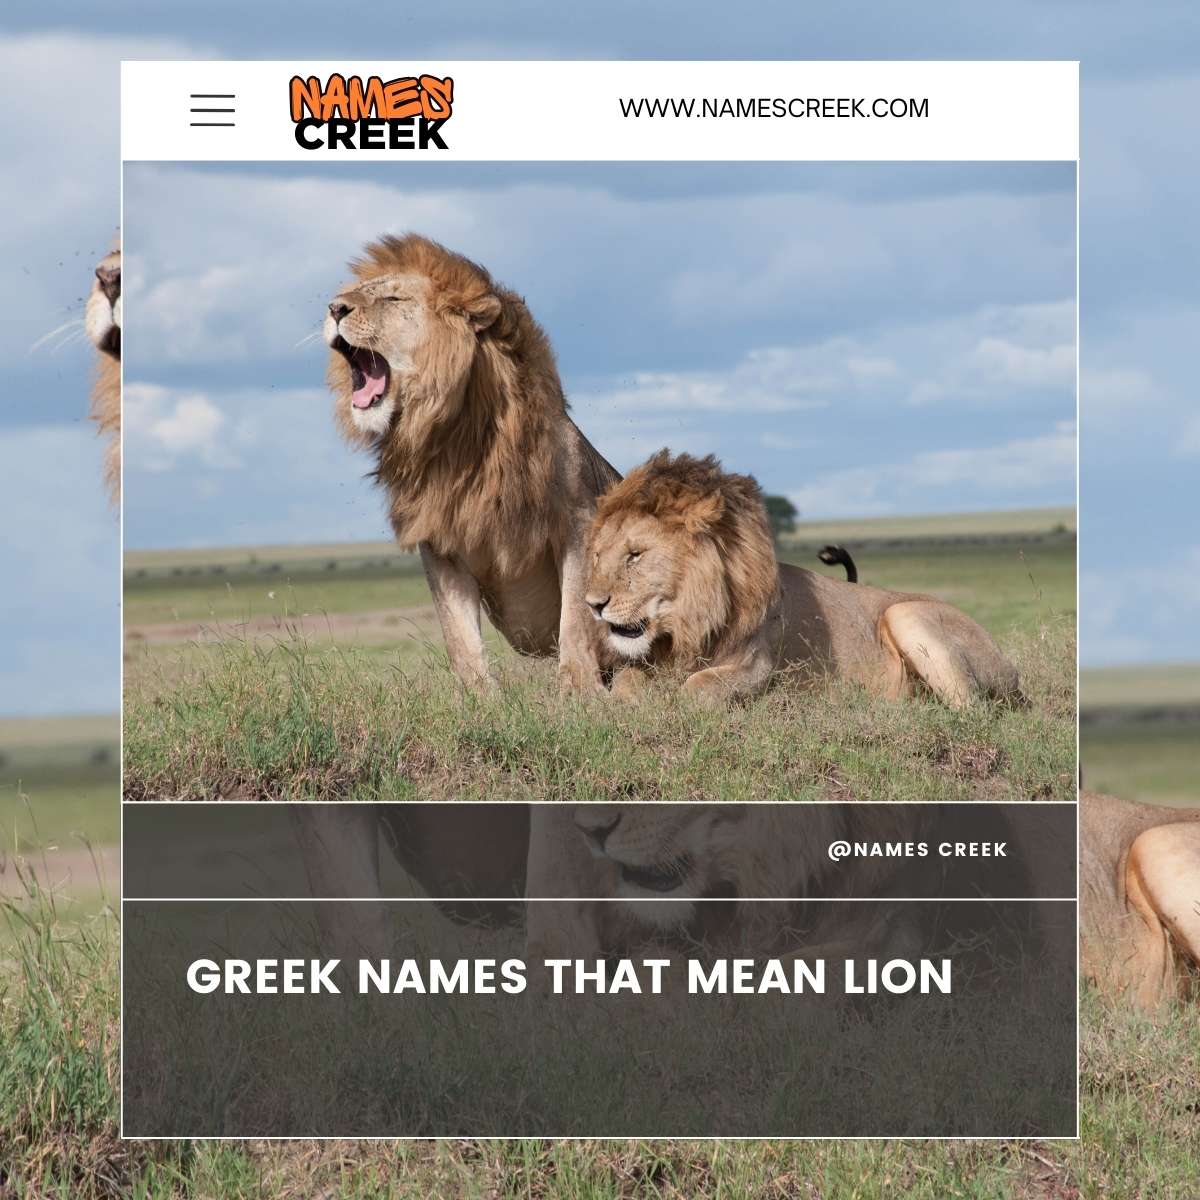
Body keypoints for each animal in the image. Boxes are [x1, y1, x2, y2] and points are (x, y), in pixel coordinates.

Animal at [585, 451, 1020, 707]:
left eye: (635, 555)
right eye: (598, 555)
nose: (593, 605)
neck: (686, 623)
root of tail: (1009, 667)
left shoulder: (757, 665)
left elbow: (698, 688)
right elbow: (626, 681)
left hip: (906, 613)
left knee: (972, 711)